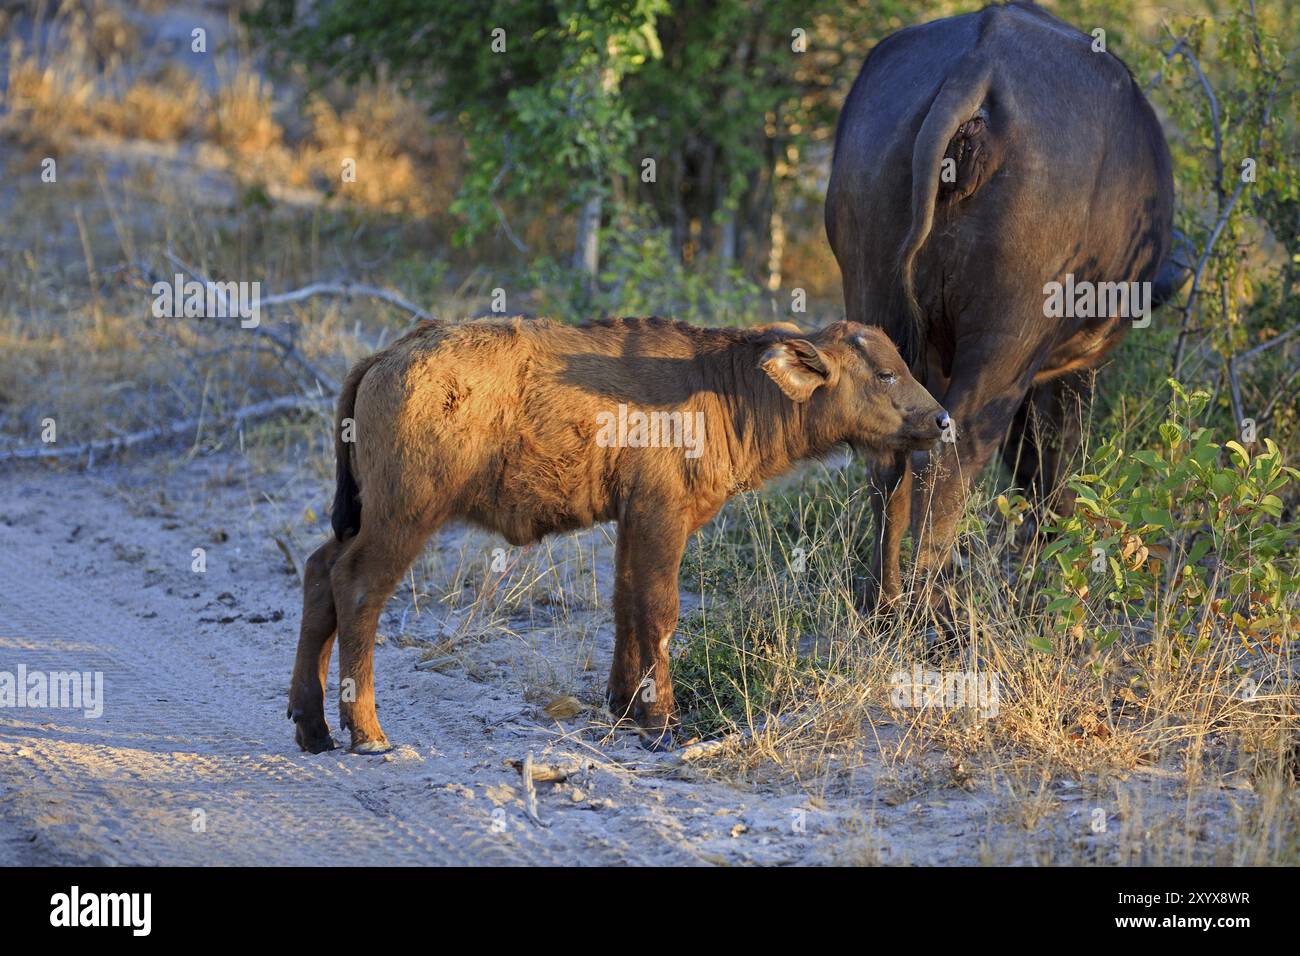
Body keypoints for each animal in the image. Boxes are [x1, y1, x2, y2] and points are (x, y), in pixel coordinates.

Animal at [288, 316, 948, 753]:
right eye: (885, 375)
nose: (941, 419)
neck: (722, 386)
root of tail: (387, 356)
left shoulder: (635, 521)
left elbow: (627, 603)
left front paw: (625, 705)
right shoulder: (661, 516)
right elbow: (659, 609)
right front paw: (661, 721)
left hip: (365, 517)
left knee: (319, 571)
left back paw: (312, 726)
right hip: (405, 518)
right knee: (357, 588)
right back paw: (366, 732)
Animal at [825, 1, 1176, 620]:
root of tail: (979, 66)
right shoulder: (1072, 369)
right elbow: (1056, 458)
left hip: (877, 302)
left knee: (890, 459)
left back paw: (885, 600)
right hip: (1008, 341)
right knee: (956, 455)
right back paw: (932, 601)